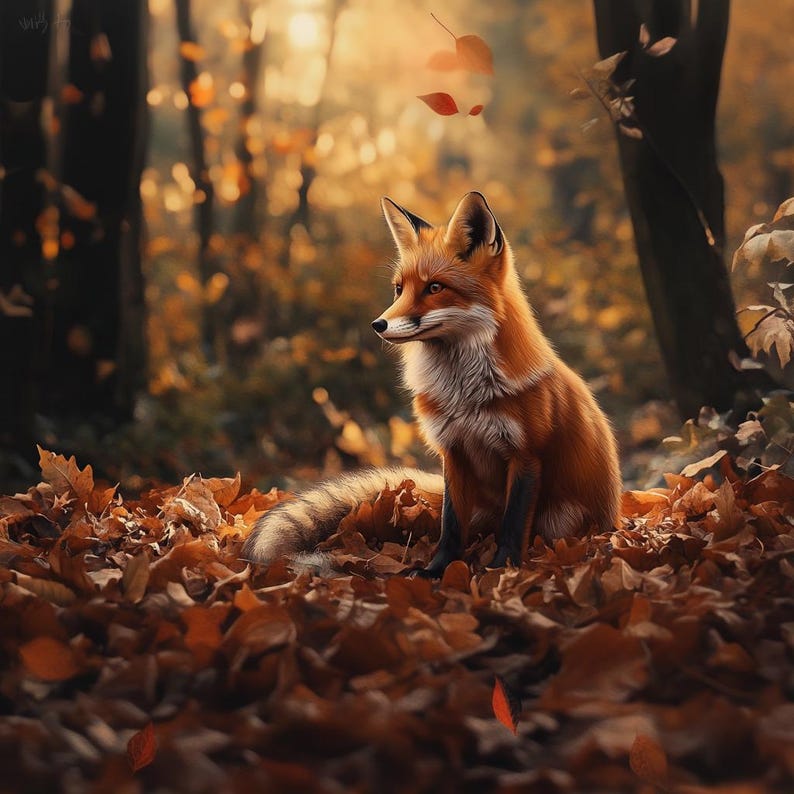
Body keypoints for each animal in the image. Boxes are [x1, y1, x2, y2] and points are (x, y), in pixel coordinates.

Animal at [244, 191, 622, 576]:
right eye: (399, 289)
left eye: (435, 287)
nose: (377, 325)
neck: (464, 395)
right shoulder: (453, 451)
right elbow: (450, 524)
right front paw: (438, 569)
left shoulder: (526, 455)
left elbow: (513, 525)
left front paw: (502, 568)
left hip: (564, 515)